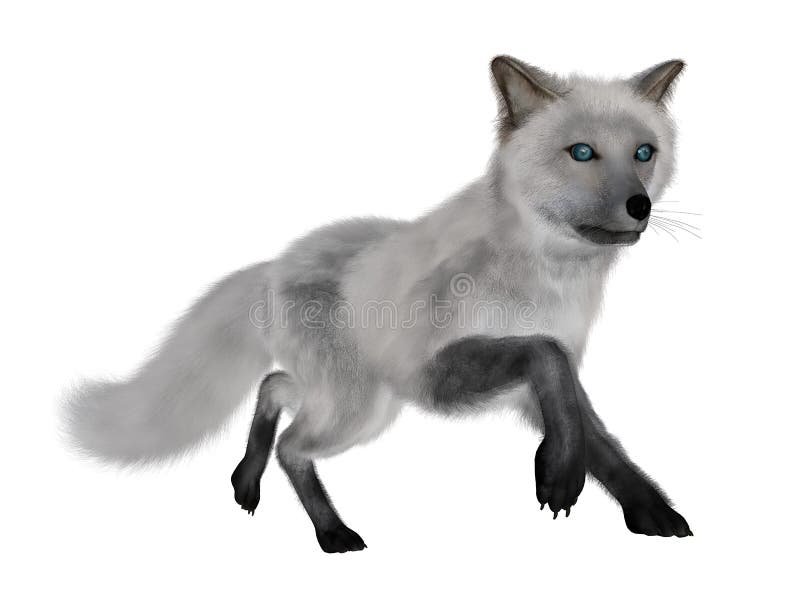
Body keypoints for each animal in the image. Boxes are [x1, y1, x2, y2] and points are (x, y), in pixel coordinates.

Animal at [63, 55, 692, 553]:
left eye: (644, 152)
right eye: (582, 152)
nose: (639, 206)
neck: (546, 282)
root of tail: (276, 265)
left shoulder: (526, 389)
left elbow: (599, 440)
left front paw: (649, 510)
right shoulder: (431, 374)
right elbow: (545, 358)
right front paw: (558, 475)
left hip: (364, 403)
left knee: (275, 385)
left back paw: (246, 480)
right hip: (362, 407)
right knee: (293, 441)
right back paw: (330, 532)